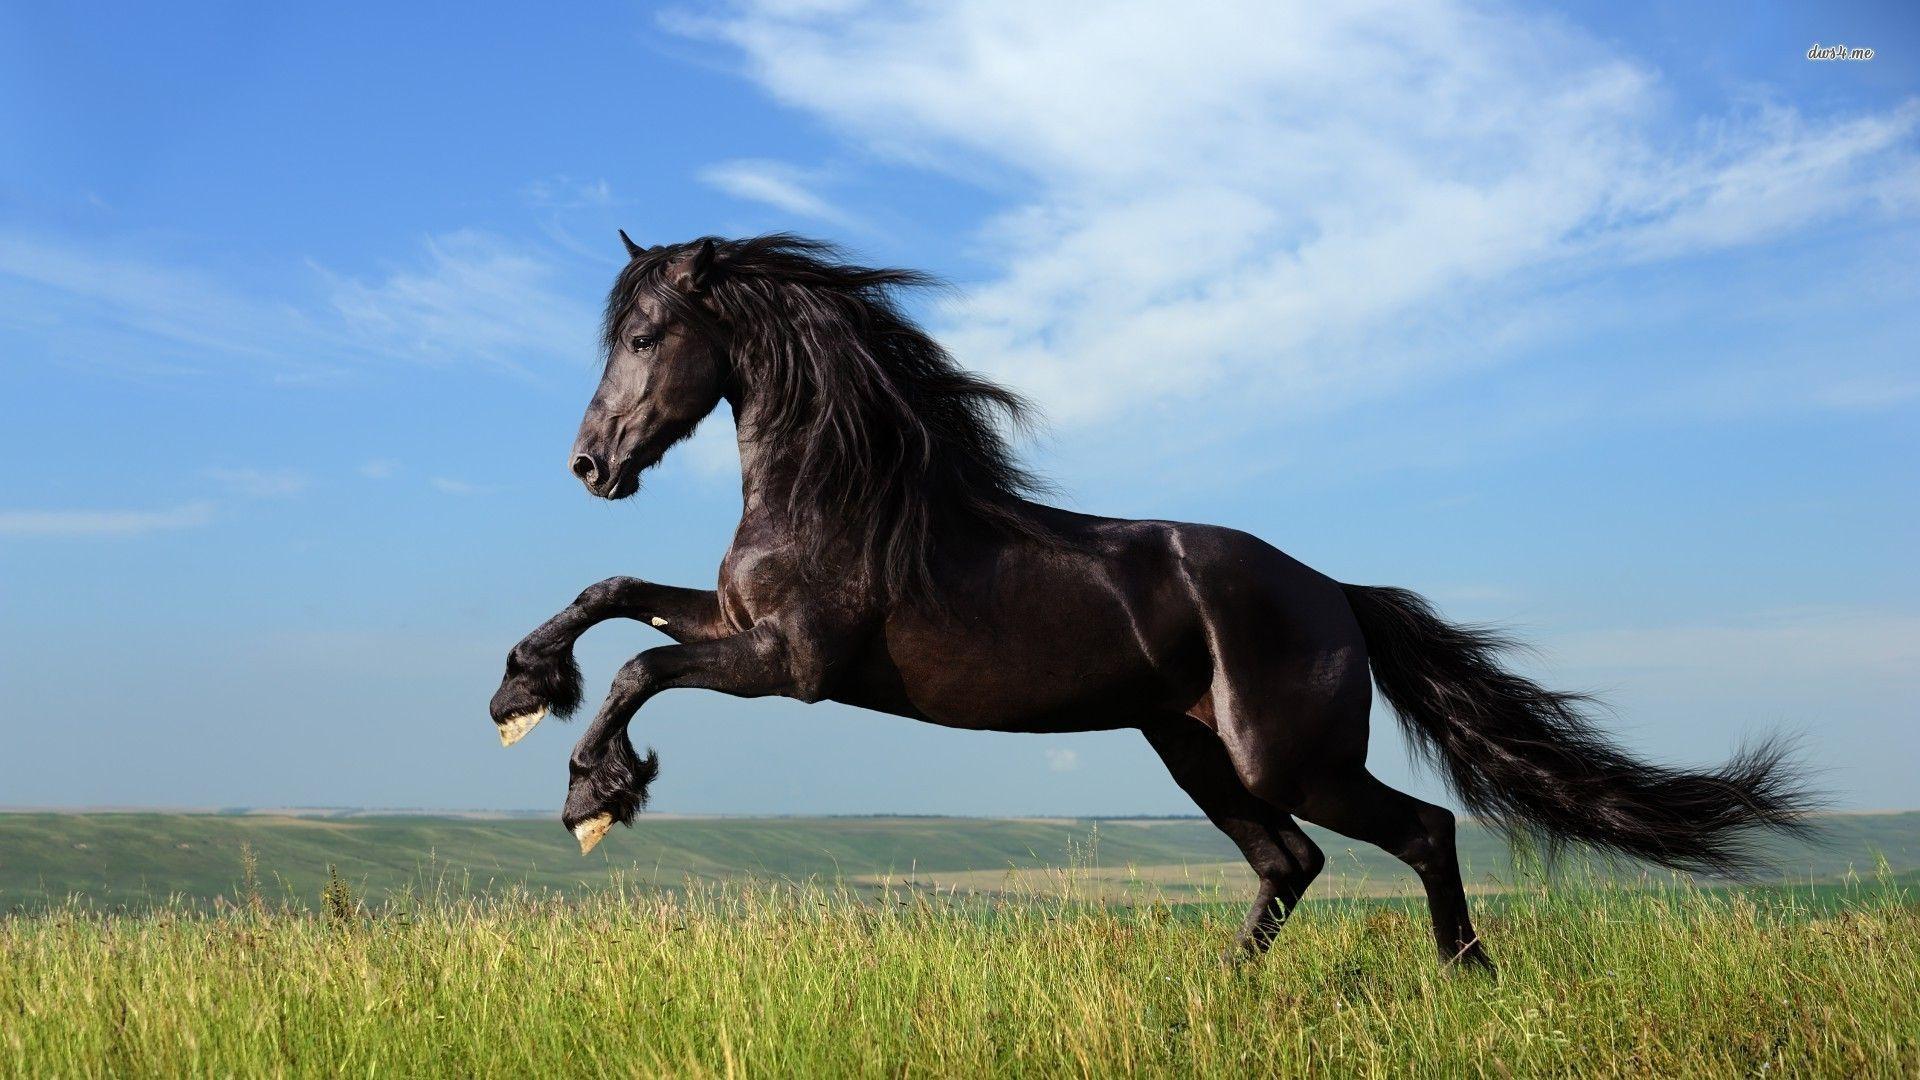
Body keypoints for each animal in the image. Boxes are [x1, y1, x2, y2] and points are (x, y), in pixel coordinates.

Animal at [488, 232, 1812, 968]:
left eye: (649, 334)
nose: (591, 465)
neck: (841, 493)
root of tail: (1338, 595)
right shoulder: (737, 625)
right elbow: (612, 594)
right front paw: (520, 692)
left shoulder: (793, 665)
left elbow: (641, 667)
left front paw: (594, 795)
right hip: (1192, 751)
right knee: (1289, 863)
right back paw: (1226, 993)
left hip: (1289, 756)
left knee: (1418, 833)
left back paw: (1468, 977)